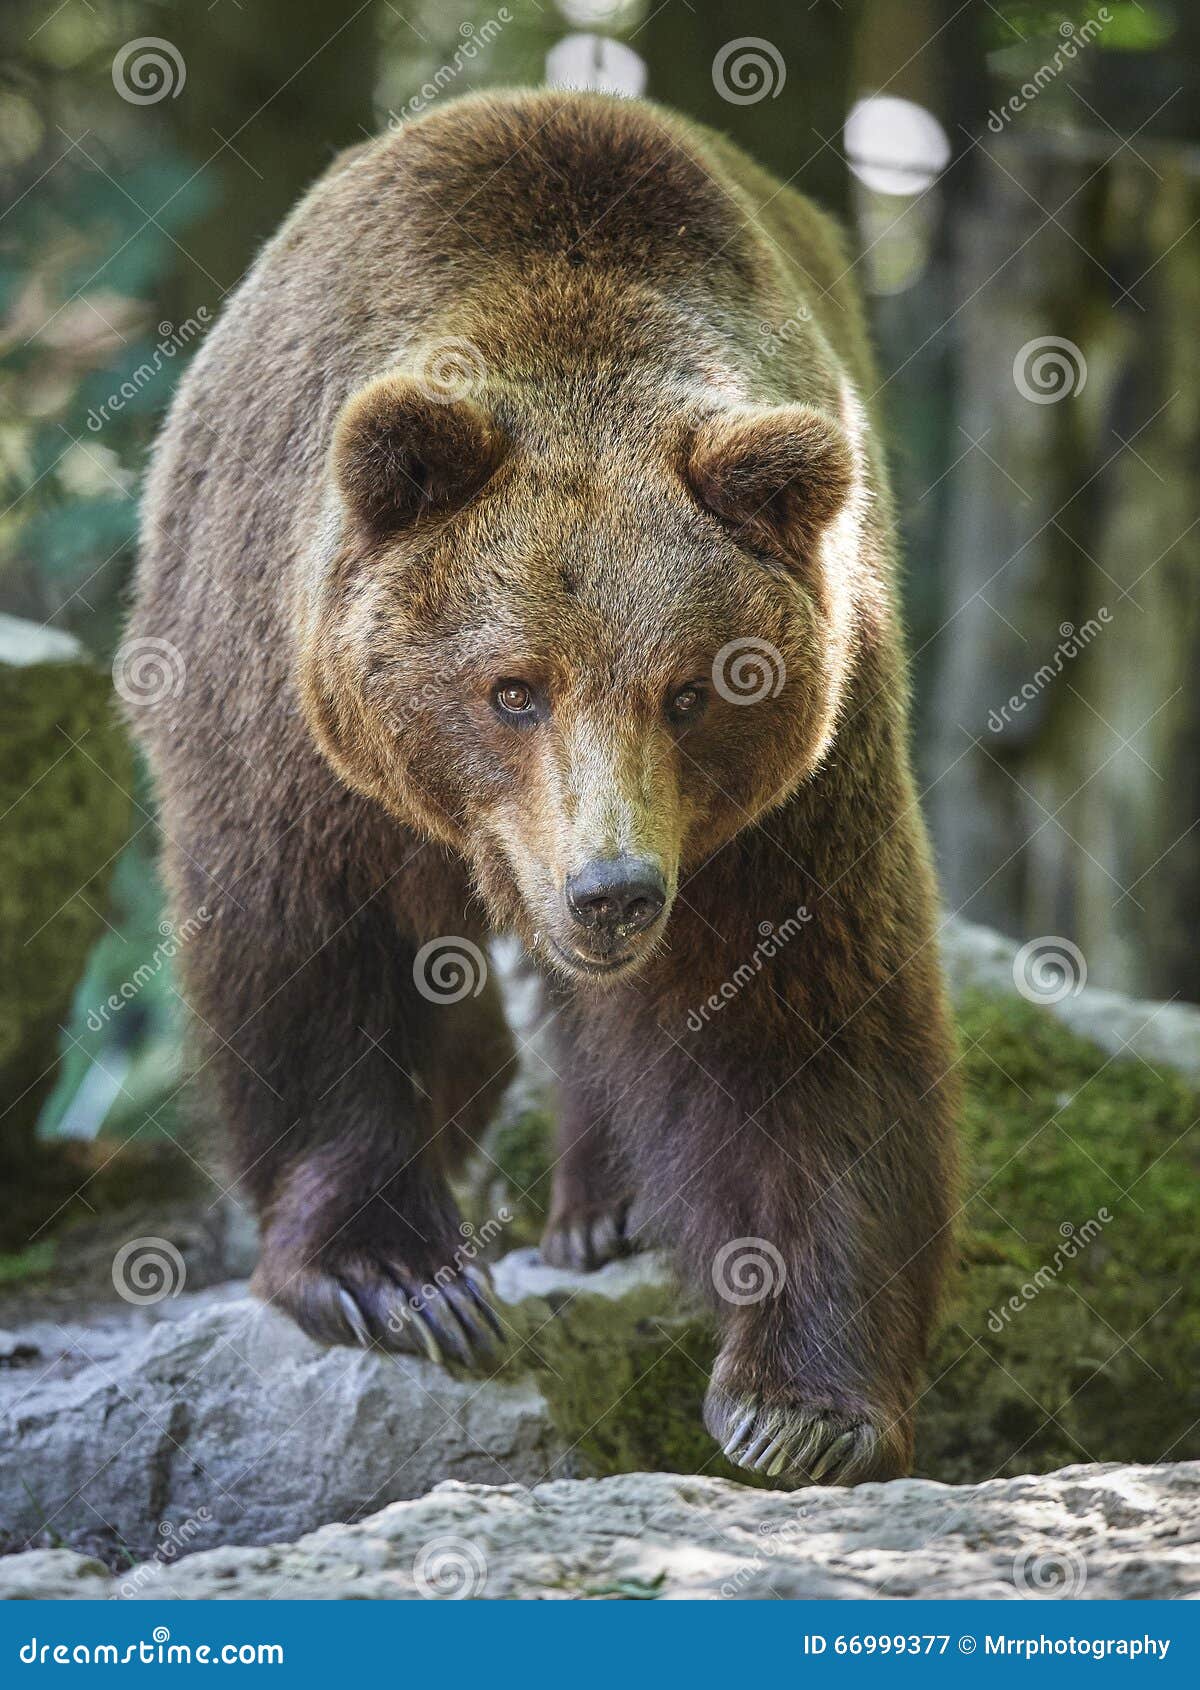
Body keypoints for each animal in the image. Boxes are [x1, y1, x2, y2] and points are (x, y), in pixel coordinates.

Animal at [127, 88, 959, 1486]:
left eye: (693, 689)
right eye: (513, 687)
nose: (611, 889)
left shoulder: (792, 796)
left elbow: (802, 1016)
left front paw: (803, 1403)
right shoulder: (281, 721)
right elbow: (309, 952)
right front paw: (397, 1278)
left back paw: (599, 1207)